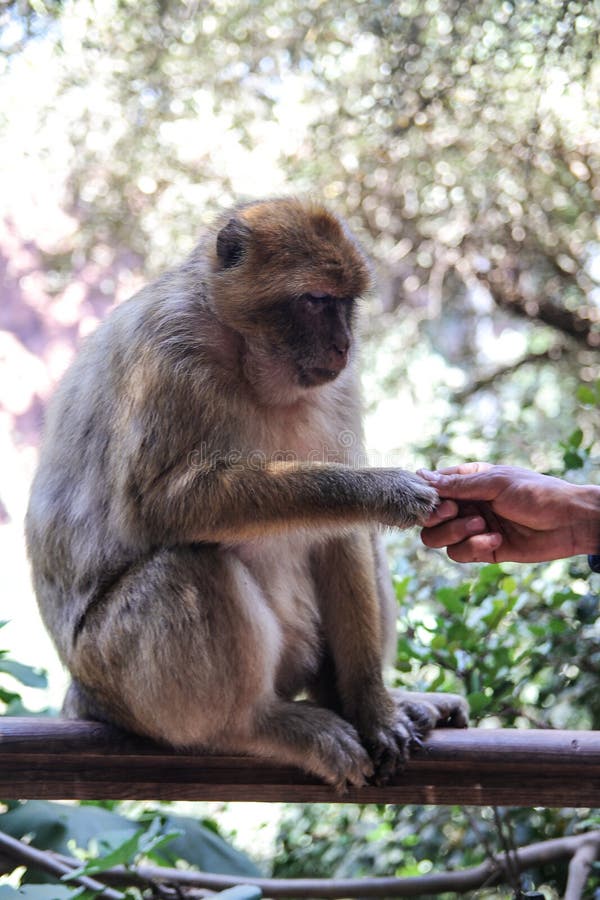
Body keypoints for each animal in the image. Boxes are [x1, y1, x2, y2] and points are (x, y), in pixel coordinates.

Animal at [26, 197, 468, 790]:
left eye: (346, 304)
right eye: (315, 302)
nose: (344, 345)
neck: (244, 351)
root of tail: (84, 694)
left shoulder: (339, 388)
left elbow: (341, 534)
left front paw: (372, 707)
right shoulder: (169, 355)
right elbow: (160, 506)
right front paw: (380, 490)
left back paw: (352, 699)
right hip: (117, 674)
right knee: (190, 566)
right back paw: (254, 725)